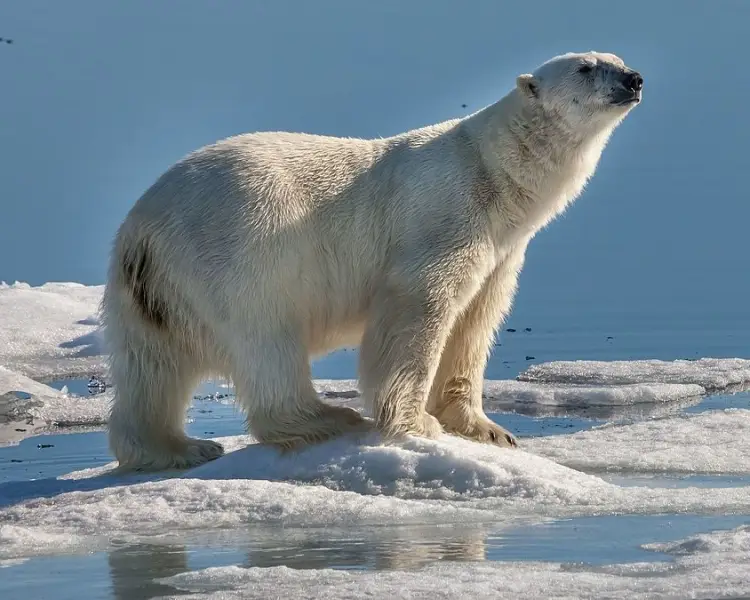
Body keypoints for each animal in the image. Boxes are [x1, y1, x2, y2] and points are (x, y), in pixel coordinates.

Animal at [102, 51, 643, 470]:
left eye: (616, 59)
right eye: (586, 67)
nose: (633, 79)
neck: (492, 174)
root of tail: (141, 227)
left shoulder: (502, 251)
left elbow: (476, 321)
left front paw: (488, 429)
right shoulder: (445, 216)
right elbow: (419, 305)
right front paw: (414, 422)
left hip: (152, 291)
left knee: (152, 364)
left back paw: (177, 447)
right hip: (239, 249)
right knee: (267, 336)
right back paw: (325, 417)